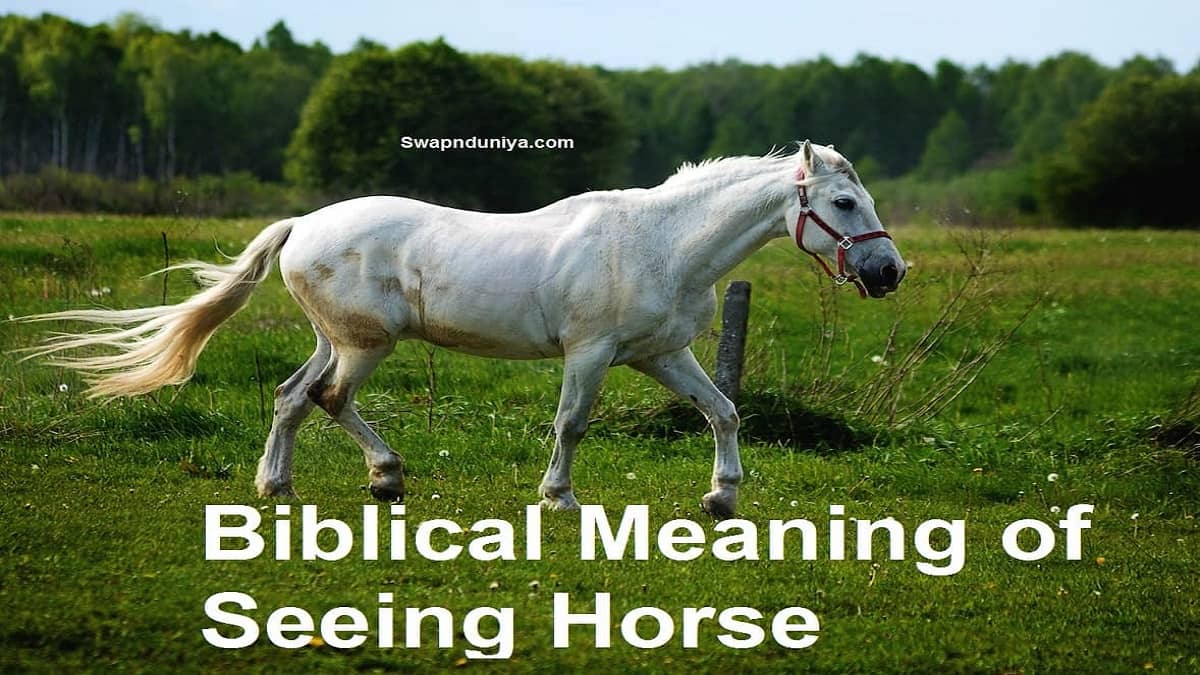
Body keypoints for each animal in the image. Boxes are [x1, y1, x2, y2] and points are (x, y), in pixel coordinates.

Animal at [20, 140, 906, 517]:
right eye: (843, 202)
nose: (889, 272)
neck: (660, 242)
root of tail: (303, 225)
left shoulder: (662, 354)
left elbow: (722, 410)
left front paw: (721, 494)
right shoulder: (591, 353)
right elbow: (571, 423)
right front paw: (558, 496)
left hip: (337, 338)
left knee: (292, 397)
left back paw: (283, 484)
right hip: (366, 344)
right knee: (329, 399)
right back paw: (382, 475)